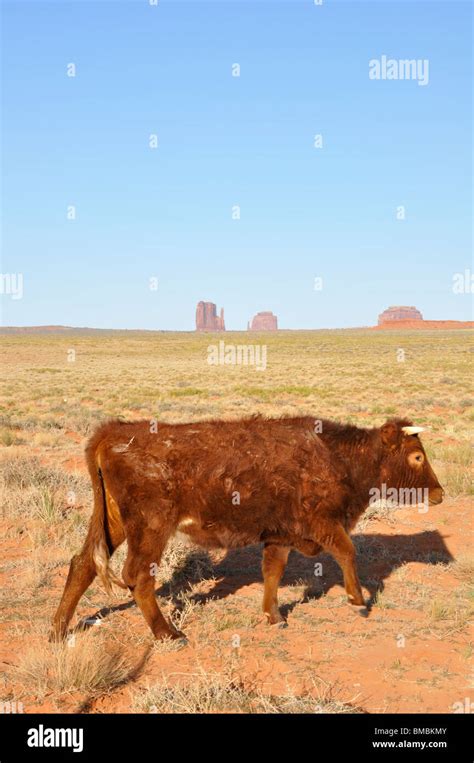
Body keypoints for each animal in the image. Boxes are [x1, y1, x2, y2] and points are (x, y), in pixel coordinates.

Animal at [50, 415, 443, 642]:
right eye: (417, 456)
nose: (439, 493)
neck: (337, 456)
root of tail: (112, 433)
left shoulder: (280, 535)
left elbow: (273, 571)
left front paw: (274, 616)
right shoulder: (322, 524)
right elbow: (347, 550)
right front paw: (357, 599)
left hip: (114, 524)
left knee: (83, 564)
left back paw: (57, 631)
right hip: (150, 529)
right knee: (137, 577)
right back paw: (168, 634)